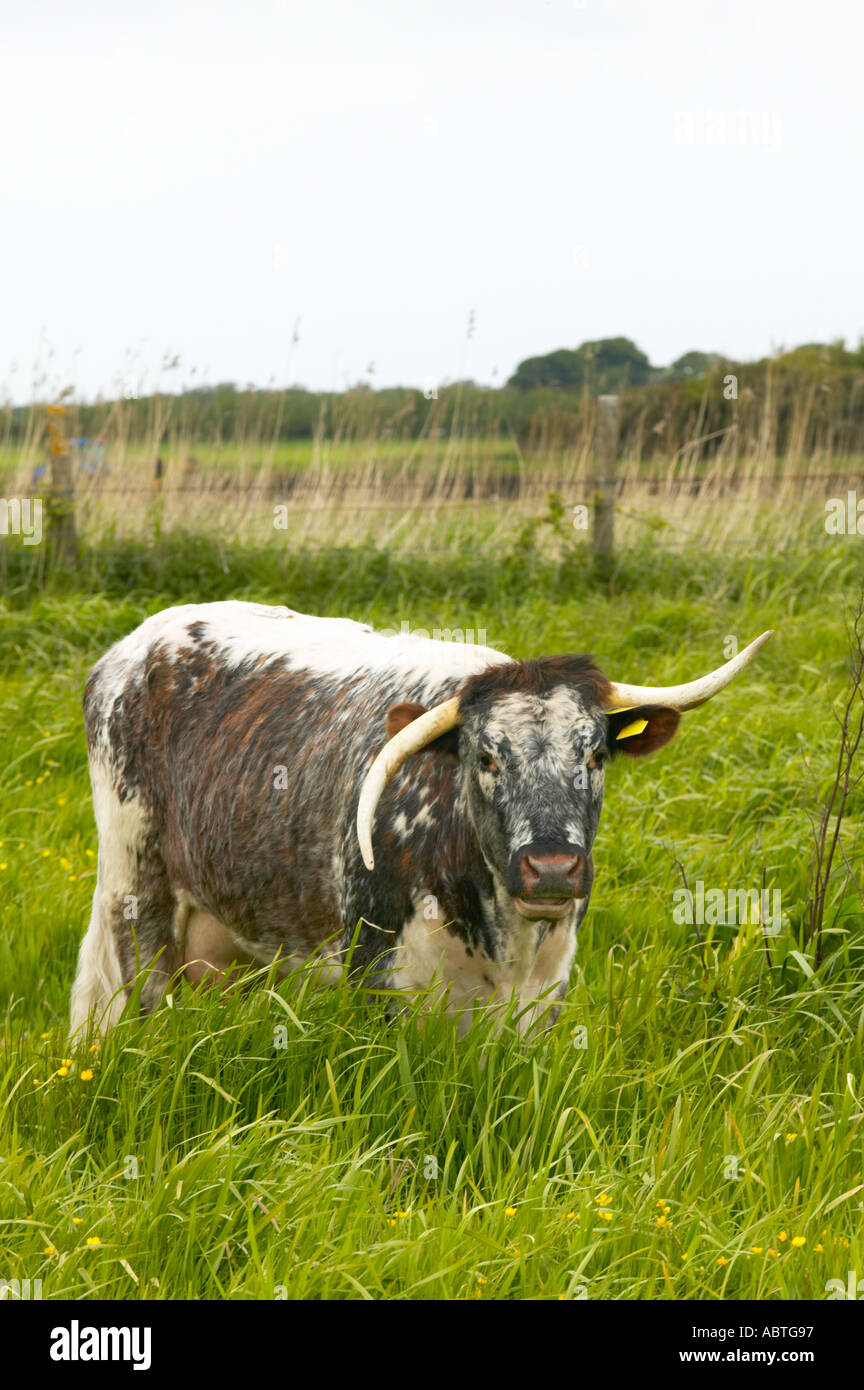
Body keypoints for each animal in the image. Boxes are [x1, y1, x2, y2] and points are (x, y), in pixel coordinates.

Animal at [70, 601, 772, 1038]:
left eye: (596, 754)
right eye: (486, 756)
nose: (551, 868)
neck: (501, 937)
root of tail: (126, 653)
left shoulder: (543, 997)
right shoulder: (377, 980)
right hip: (137, 898)